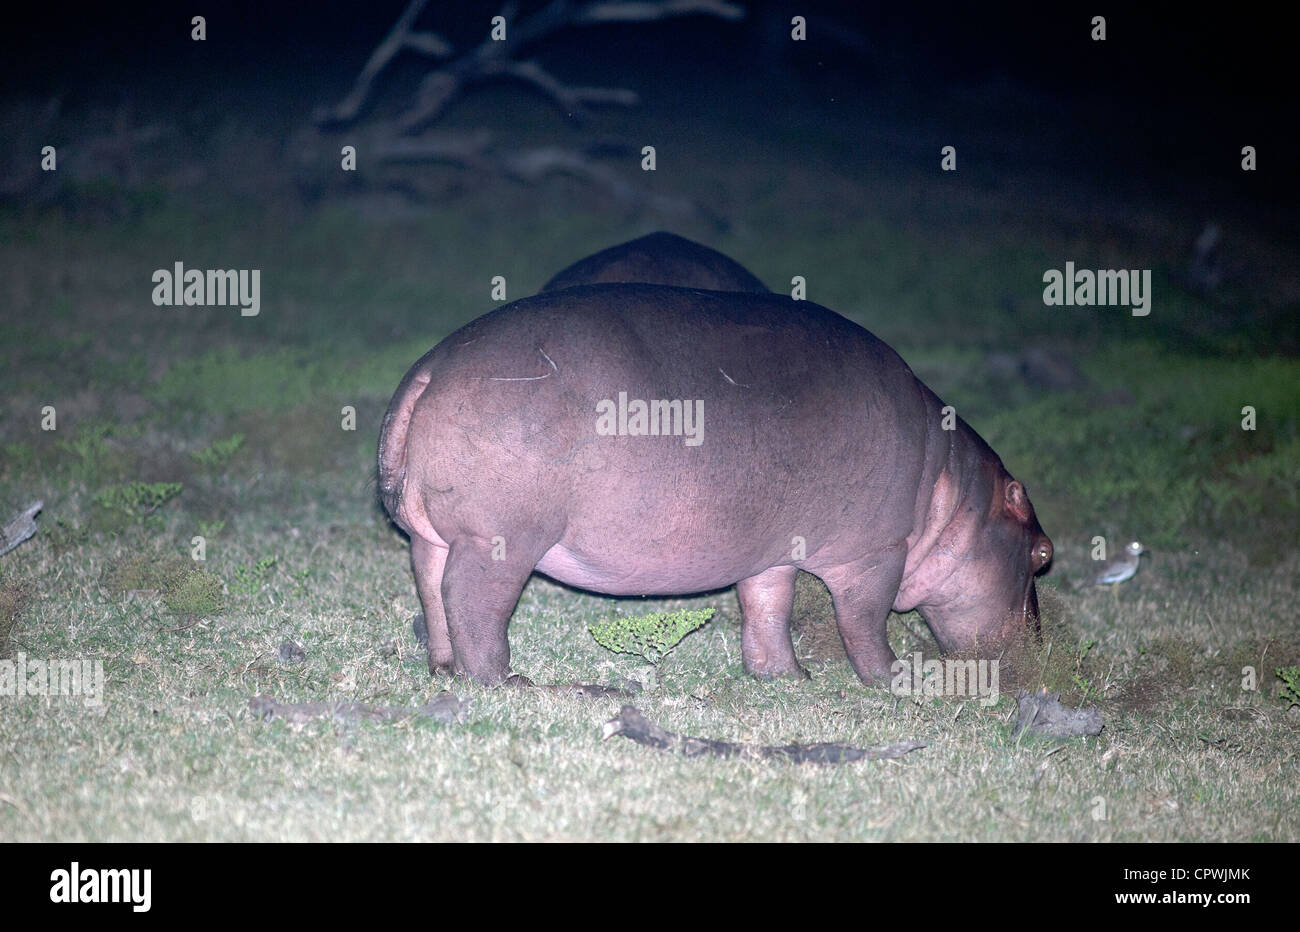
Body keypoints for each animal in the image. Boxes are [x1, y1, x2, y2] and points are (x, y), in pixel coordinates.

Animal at [378, 285, 1053, 685]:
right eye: (1043, 555)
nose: (1038, 649)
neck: (953, 490)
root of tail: (430, 367)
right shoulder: (875, 555)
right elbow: (864, 622)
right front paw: (895, 679)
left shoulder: (775, 551)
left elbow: (767, 608)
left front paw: (786, 679)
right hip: (499, 540)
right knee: (473, 602)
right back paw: (503, 680)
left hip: (436, 536)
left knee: (433, 589)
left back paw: (443, 668)